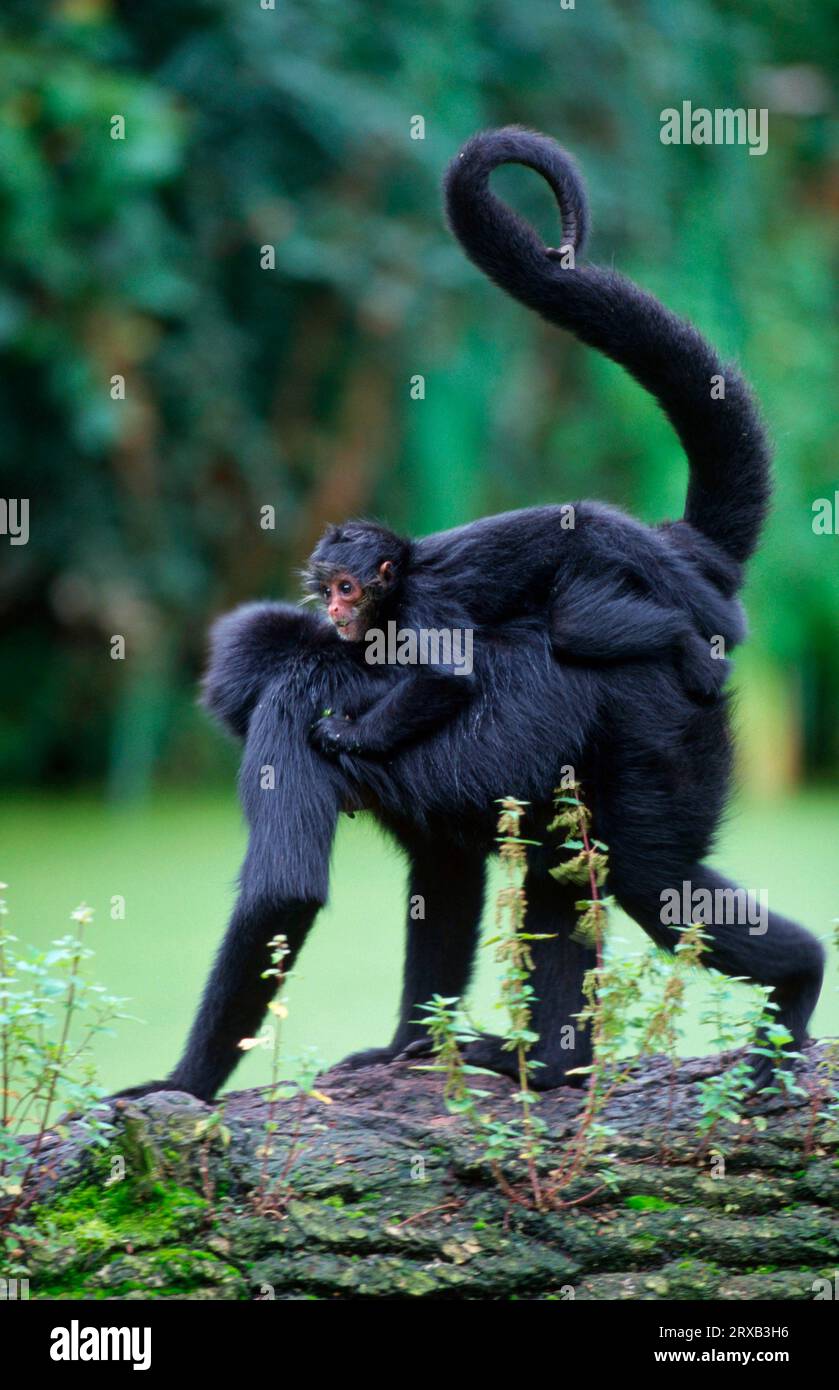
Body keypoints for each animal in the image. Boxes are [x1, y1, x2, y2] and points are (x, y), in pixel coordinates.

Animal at [117, 127, 824, 1104]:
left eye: (237, 705)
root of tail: (681, 561)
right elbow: (445, 877)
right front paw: (409, 1045)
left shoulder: (285, 718)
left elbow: (282, 897)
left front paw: (180, 1085)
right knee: (571, 866)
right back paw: (559, 1067)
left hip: (664, 720)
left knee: (651, 877)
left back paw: (796, 979)